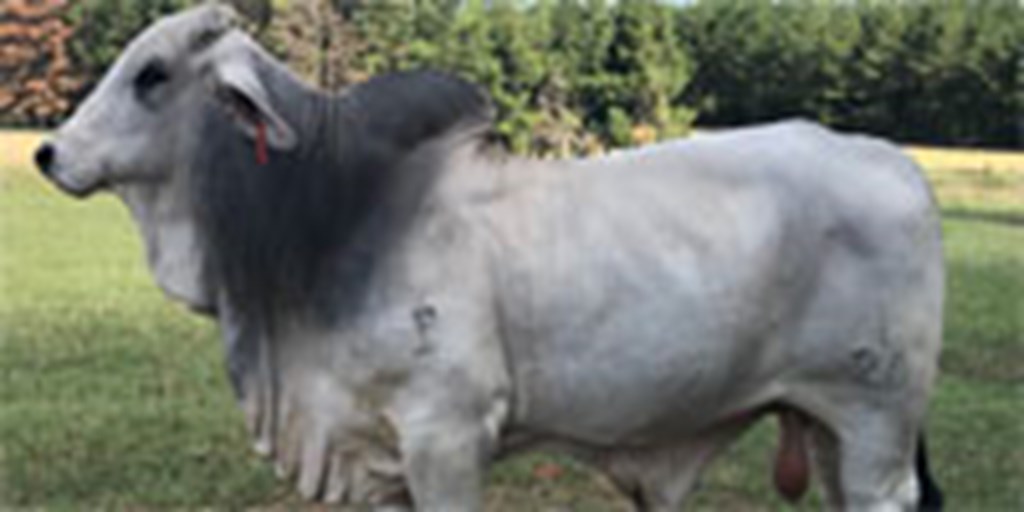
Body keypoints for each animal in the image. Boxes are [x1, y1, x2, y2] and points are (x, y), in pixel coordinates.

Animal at [35, 5, 945, 511]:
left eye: (152, 75)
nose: (48, 152)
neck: (329, 212)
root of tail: (895, 163)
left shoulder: (446, 434)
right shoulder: (380, 453)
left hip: (876, 423)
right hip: (825, 424)